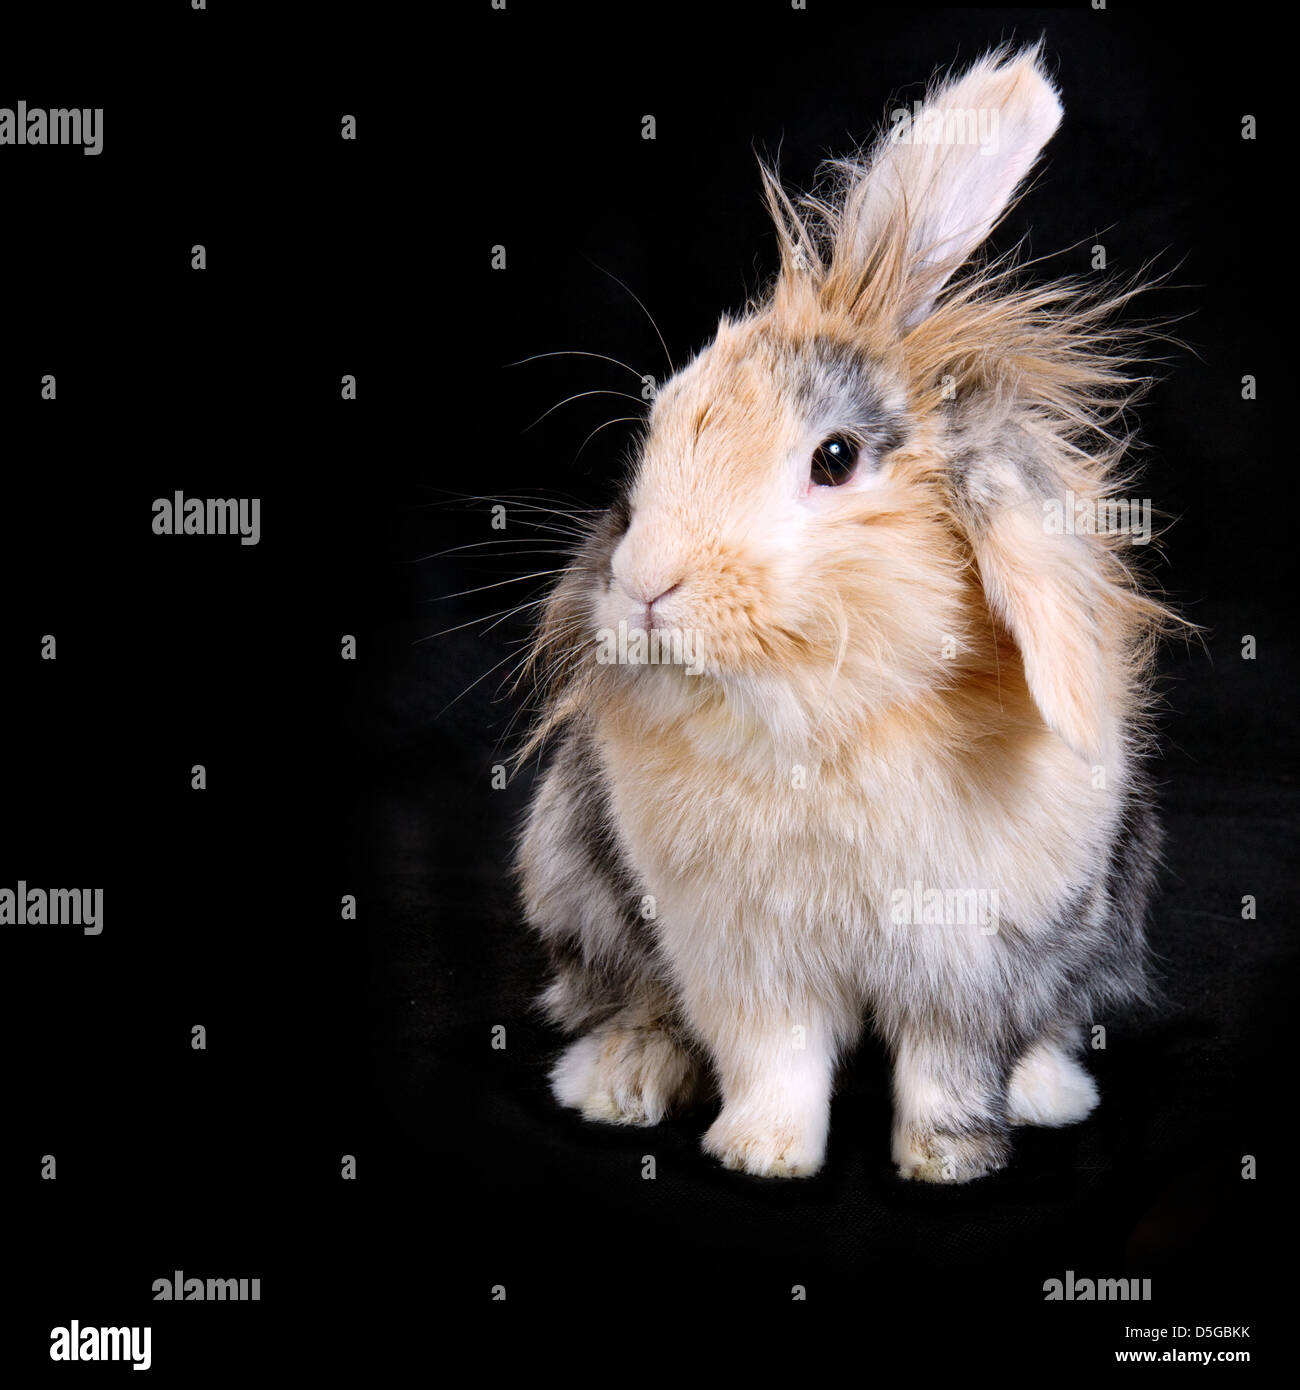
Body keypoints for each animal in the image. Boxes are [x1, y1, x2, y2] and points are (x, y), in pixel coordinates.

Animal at [514, 45, 1173, 1181]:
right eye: (653, 436)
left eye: (834, 459)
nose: (645, 586)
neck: (824, 714)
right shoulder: (742, 960)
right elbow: (773, 1059)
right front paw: (759, 1155)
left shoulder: (974, 958)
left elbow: (949, 1067)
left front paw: (949, 1162)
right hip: (571, 872)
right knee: (630, 997)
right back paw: (620, 1080)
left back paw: (1049, 1094)